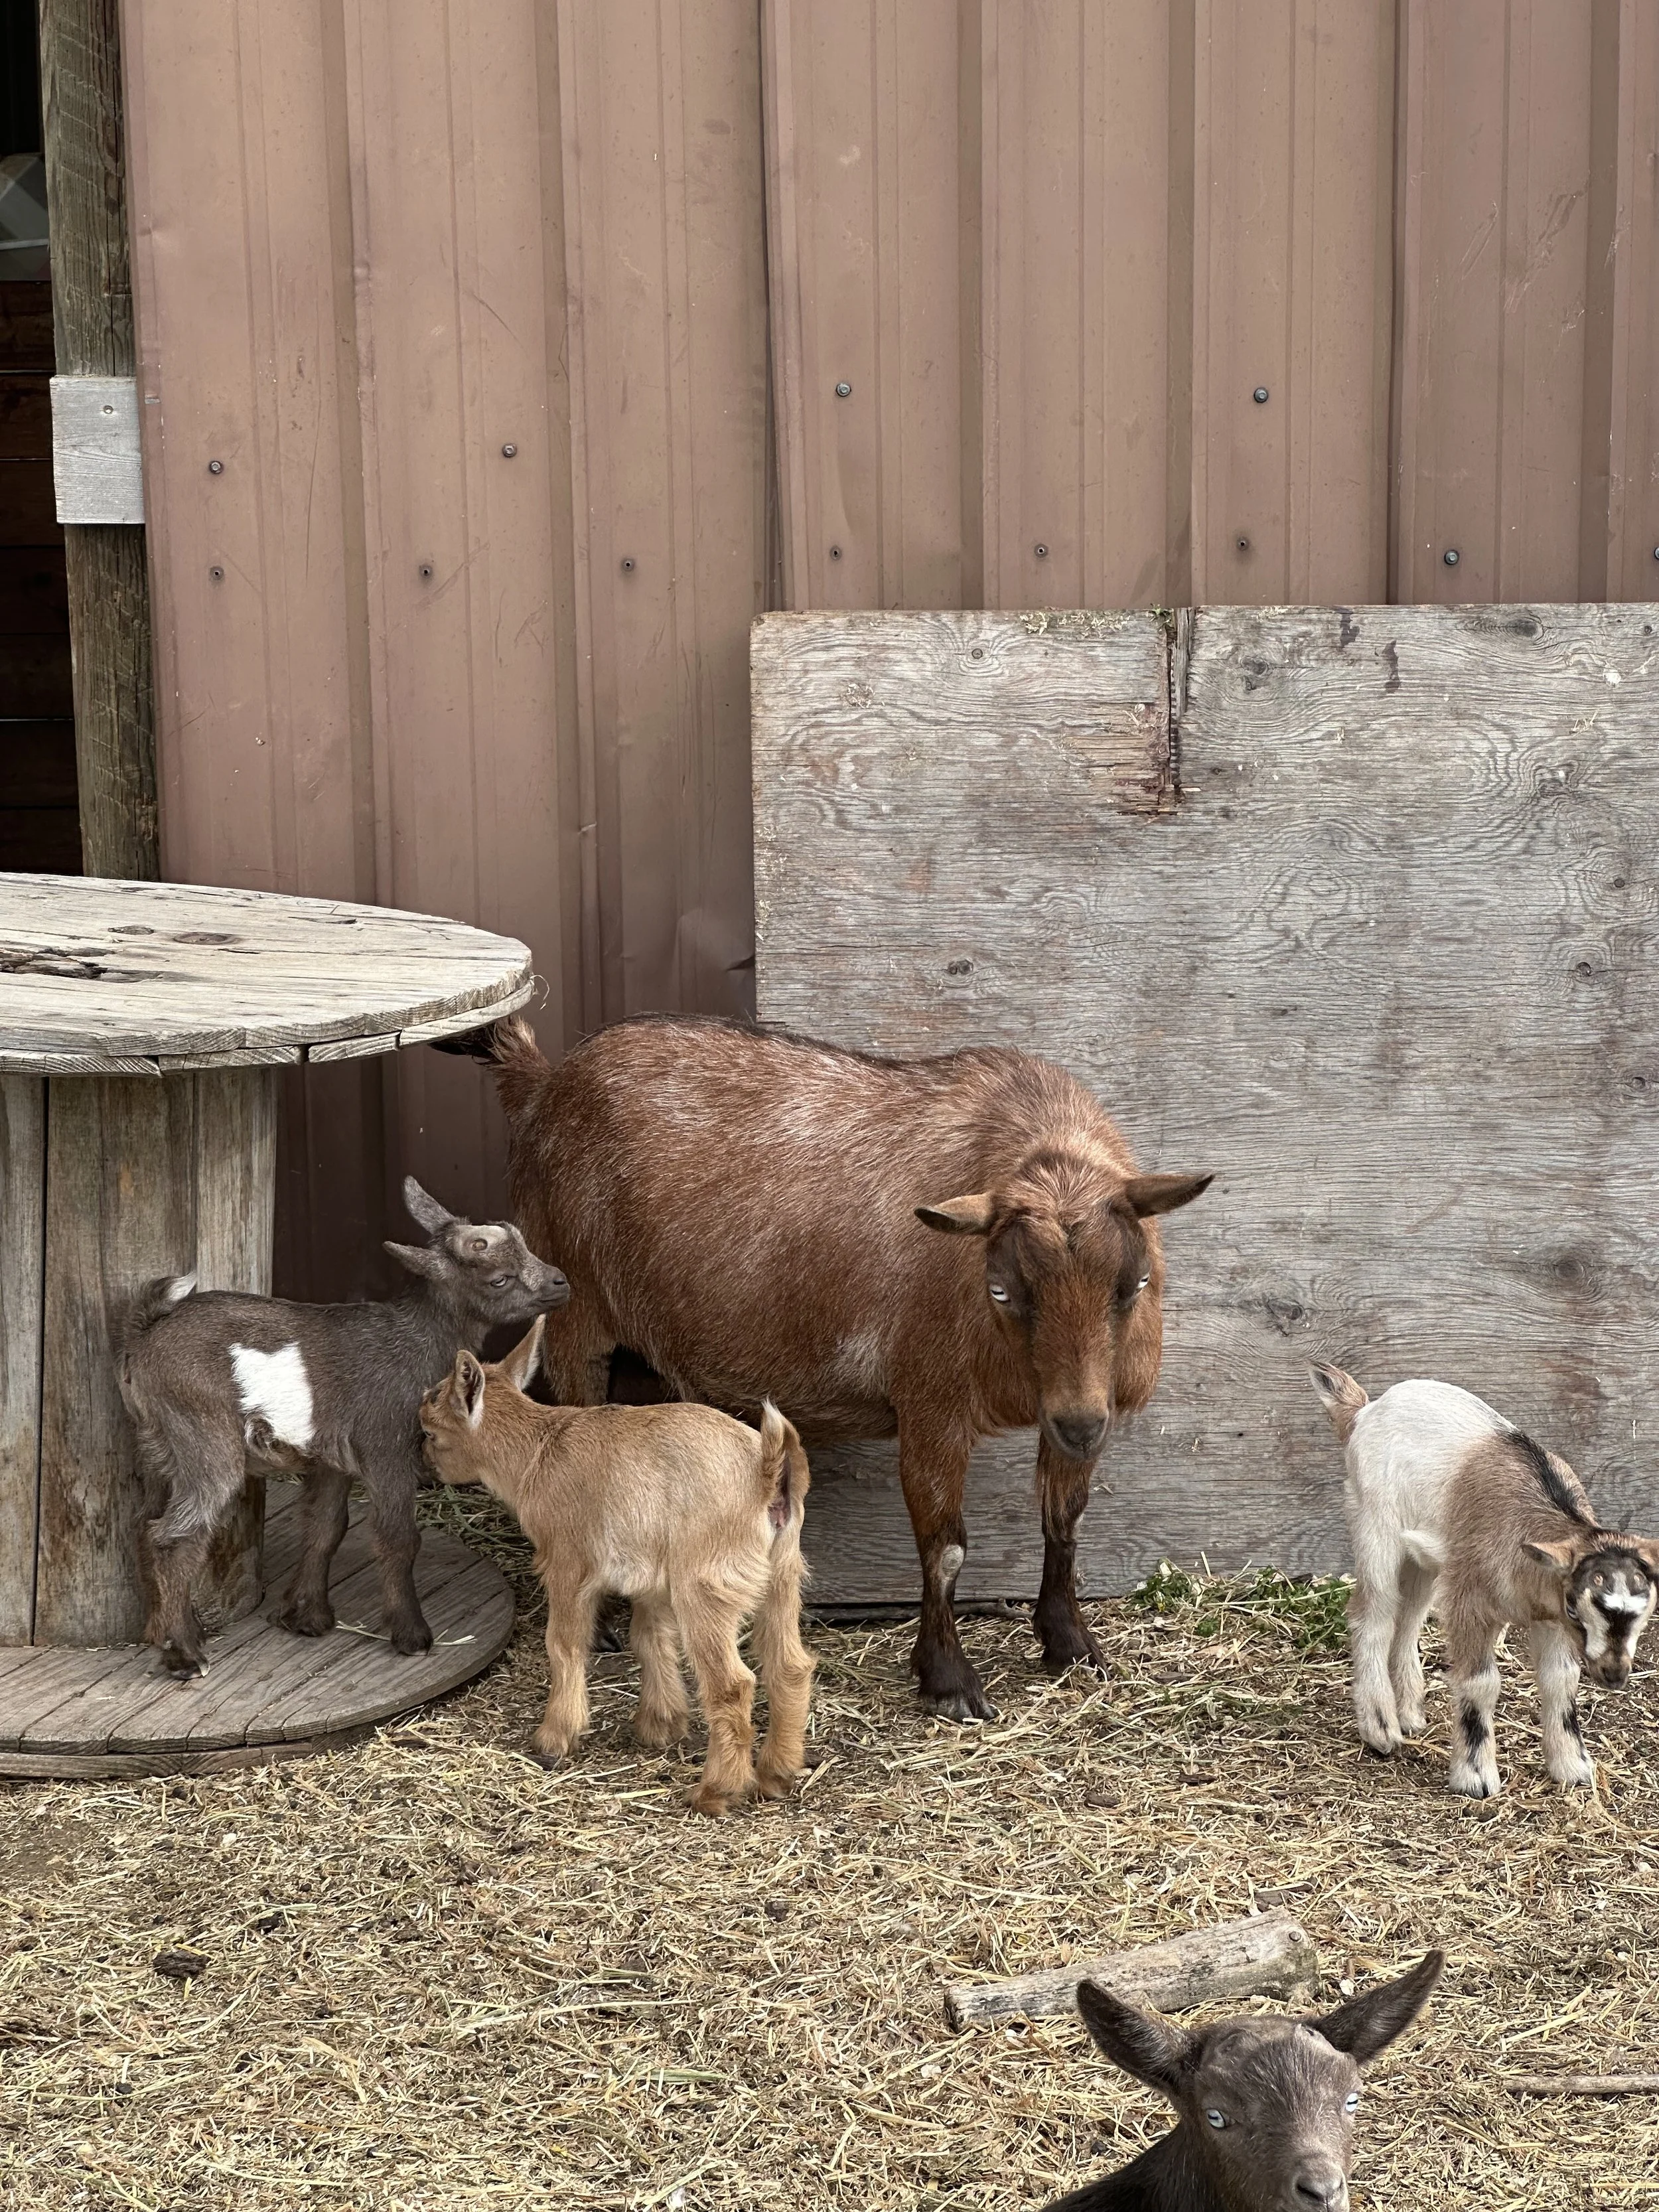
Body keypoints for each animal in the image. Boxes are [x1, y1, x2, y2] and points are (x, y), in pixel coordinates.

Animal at [117, 1178, 569, 1678]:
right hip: (204, 1436)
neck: (417, 1341)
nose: (561, 1281)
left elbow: (325, 1527)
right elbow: (397, 1537)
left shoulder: (331, 1460)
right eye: (499, 1278)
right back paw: (185, 1654)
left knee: (144, 1524)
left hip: (160, 1444)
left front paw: (305, 1616)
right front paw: (412, 1636)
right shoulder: (388, 1449)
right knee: (176, 1536)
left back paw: (165, 1632)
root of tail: (144, 1335)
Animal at [418, 1316, 815, 1815]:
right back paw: (776, 1775)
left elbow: (564, 1644)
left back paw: (715, 1790)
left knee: (732, 1684)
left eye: (430, 1431)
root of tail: (770, 1473)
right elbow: (650, 1638)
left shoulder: (567, 1564)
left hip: (705, 1584)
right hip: (783, 1573)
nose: (425, 1465)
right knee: (790, 1665)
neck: (537, 1453)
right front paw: (661, 1725)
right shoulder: (651, 1580)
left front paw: (555, 1737)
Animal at [440, 1013, 1209, 1721]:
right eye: (1001, 1291)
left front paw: (1070, 1644)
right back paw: (598, 1622)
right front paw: (949, 1681)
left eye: (1133, 1284)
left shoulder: (1072, 1404)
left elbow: (1064, 1520)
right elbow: (946, 1549)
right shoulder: (932, 1403)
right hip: (576, 1316)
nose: (1081, 1425)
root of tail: (544, 1081)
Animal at [1311, 1365, 1659, 1796]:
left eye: (1644, 1614)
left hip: (1425, 1558)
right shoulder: (1472, 1602)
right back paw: (1380, 1729)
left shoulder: (1548, 1614)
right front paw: (1475, 1777)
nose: (1614, 1674)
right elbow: (1480, 1683)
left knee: (1407, 1620)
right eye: (1577, 1610)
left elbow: (1562, 1679)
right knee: (1372, 1616)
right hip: (1375, 1530)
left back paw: (1409, 1714)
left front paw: (1572, 1767)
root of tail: (1363, 1411)